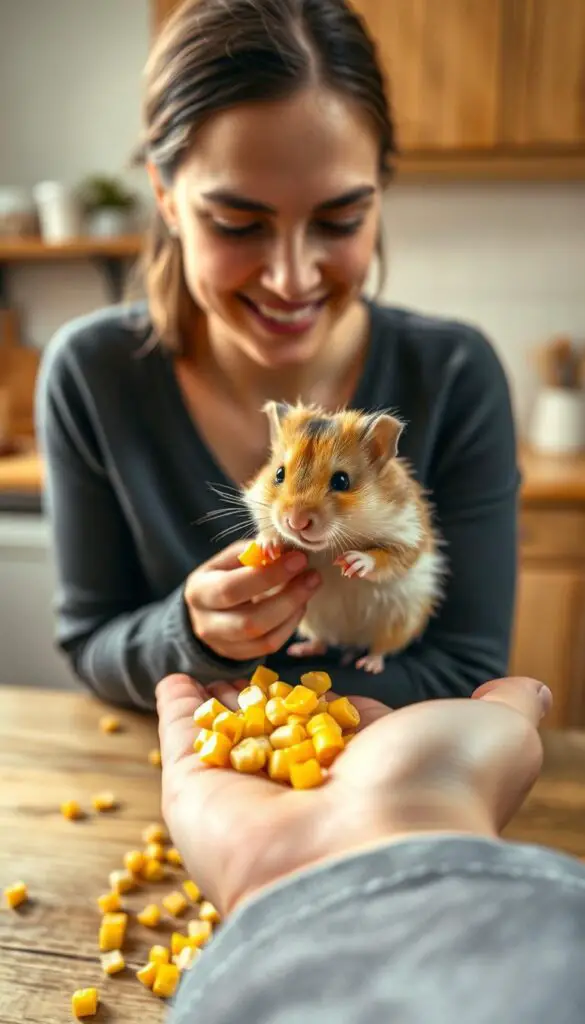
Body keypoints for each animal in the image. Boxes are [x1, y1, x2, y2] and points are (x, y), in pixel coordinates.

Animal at [242, 400, 445, 674]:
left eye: (341, 480)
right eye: (279, 474)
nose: (295, 522)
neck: (330, 547)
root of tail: (351, 640)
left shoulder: (408, 536)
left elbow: (384, 558)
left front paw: (350, 563)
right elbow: (271, 532)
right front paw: (268, 546)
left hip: (402, 619)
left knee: (381, 647)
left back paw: (368, 665)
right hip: (313, 621)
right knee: (321, 642)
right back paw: (300, 650)